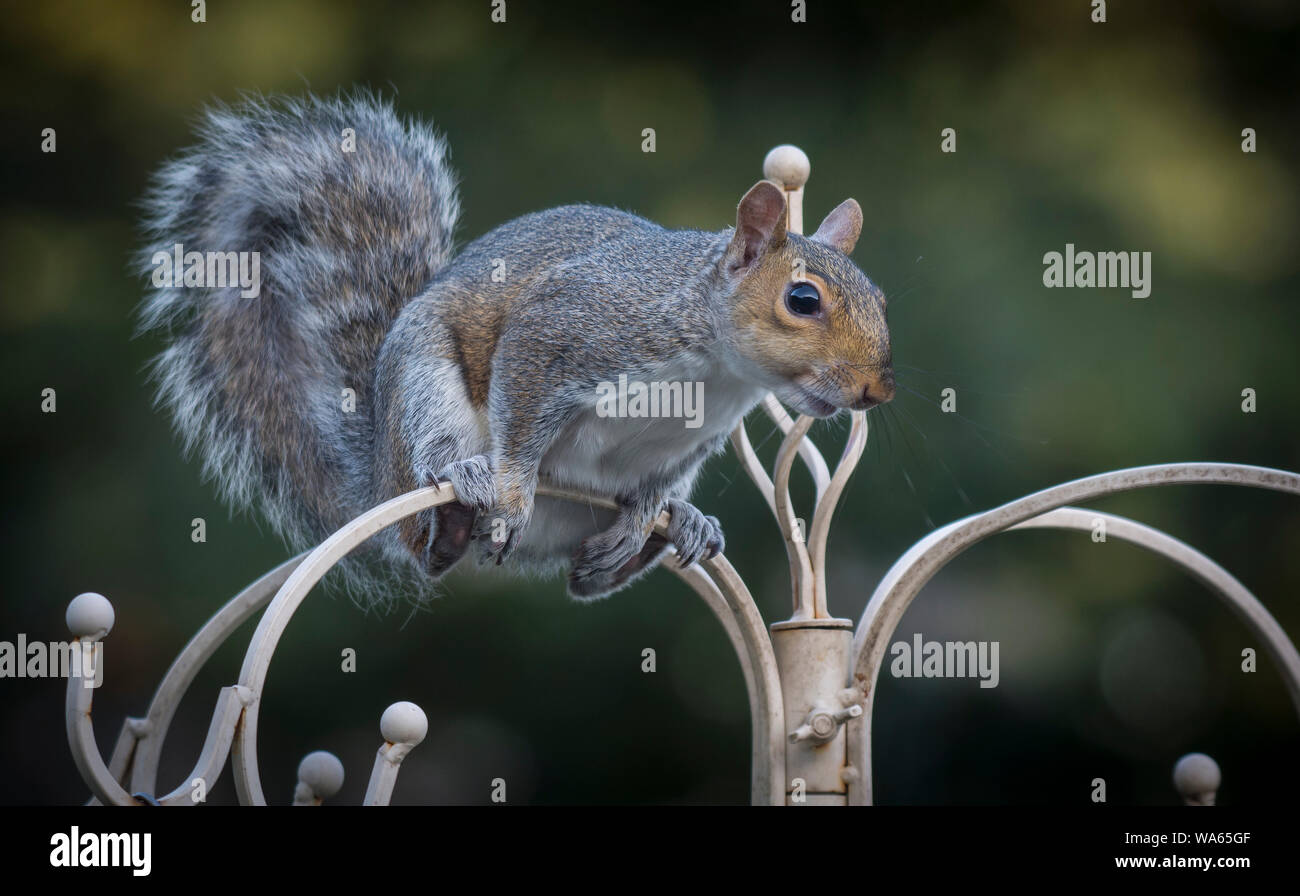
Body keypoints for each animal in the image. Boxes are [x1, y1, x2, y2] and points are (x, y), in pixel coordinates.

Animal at [138, 93, 894, 602]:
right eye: (803, 300)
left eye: (882, 300)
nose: (875, 391)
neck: (717, 368)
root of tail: (377, 470)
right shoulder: (567, 332)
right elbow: (524, 412)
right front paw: (508, 493)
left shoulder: (693, 439)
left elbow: (651, 484)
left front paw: (650, 513)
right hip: (423, 390)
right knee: (425, 540)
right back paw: (456, 505)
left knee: (583, 579)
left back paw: (673, 528)